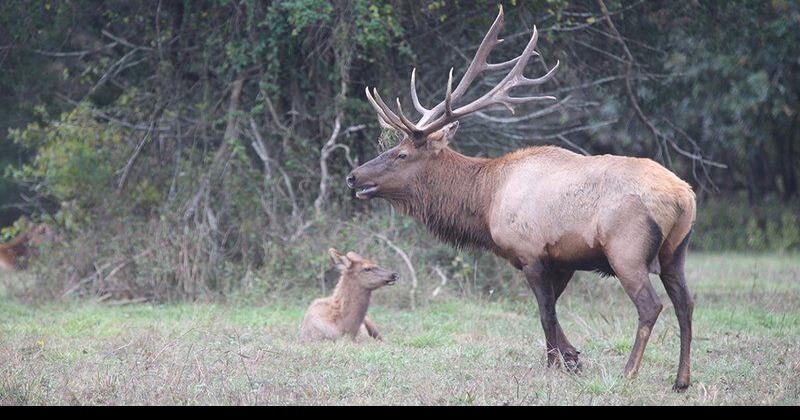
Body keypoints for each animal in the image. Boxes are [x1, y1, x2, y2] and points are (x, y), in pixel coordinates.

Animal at [345, 7, 696, 391]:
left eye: (401, 154)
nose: (353, 176)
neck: (485, 201)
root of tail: (683, 196)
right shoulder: (563, 259)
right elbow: (553, 310)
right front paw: (573, 358)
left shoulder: (530, 253)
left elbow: (545, 313)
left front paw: (555, 364)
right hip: (675, 252)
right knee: (686, 303)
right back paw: (681, 380)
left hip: (626, 249)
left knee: (650, 306)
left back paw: (628, 373)